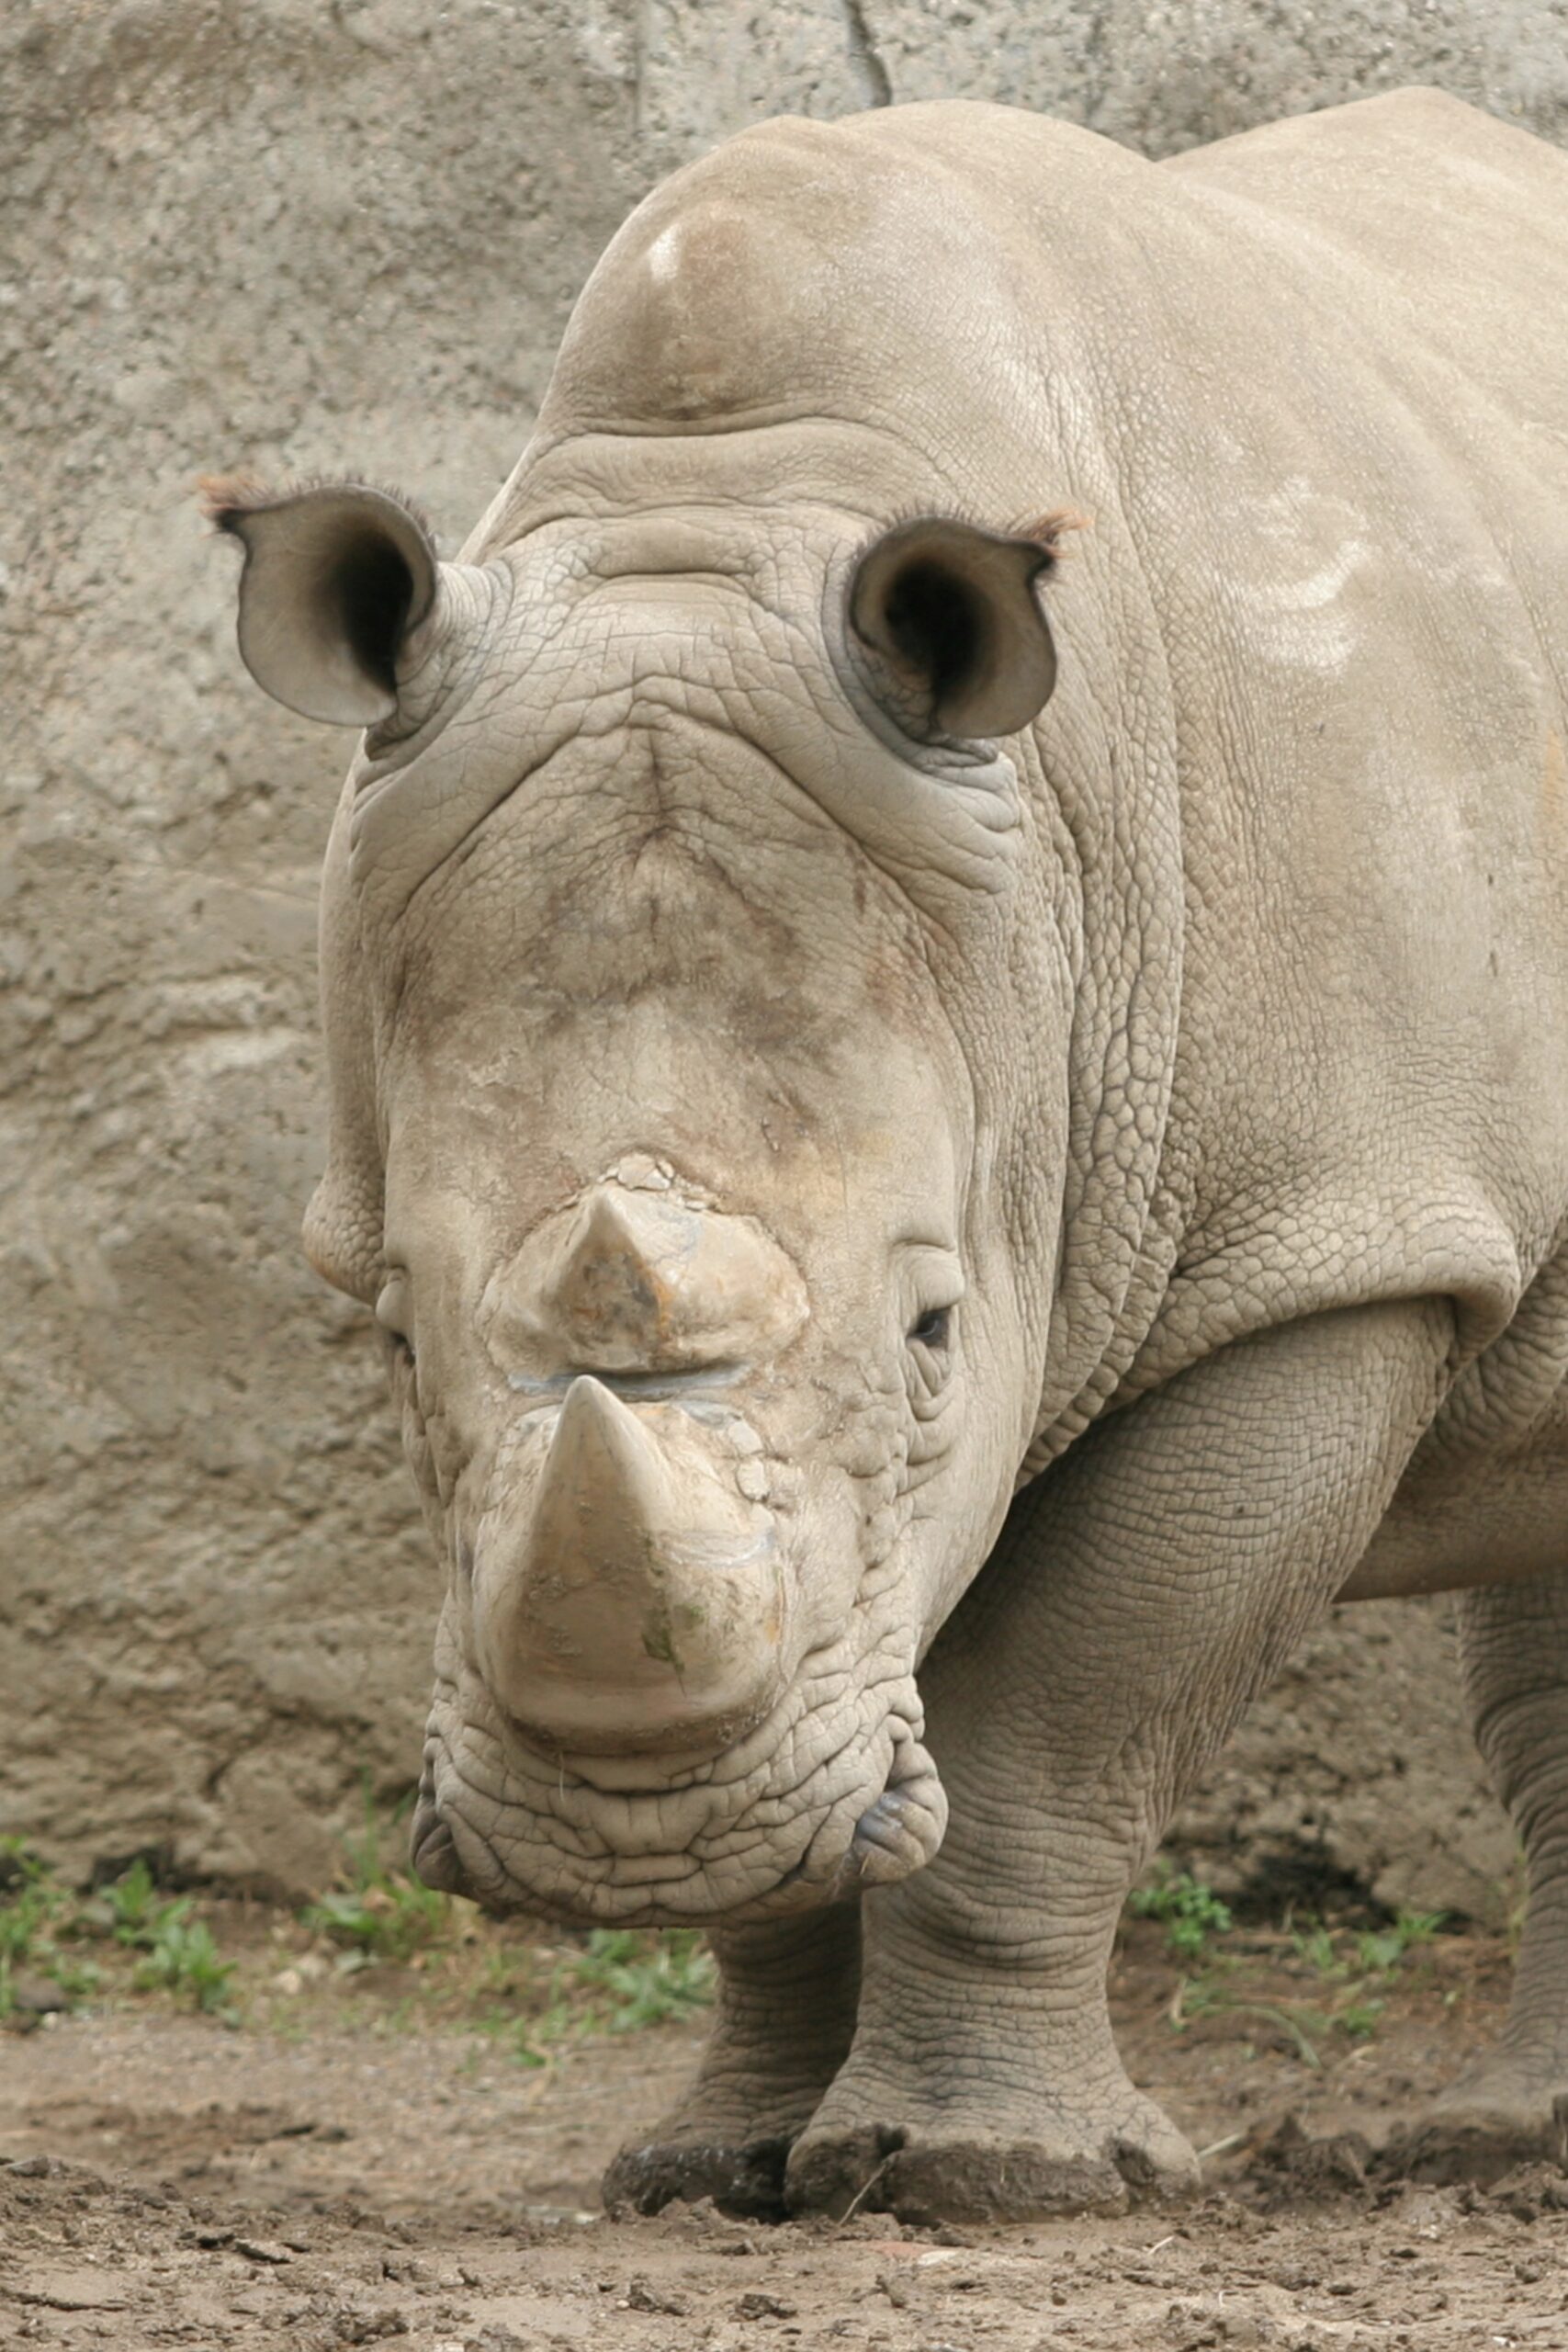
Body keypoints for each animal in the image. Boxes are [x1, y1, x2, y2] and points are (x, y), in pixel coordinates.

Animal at [207, 86, 1568, 2223]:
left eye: (935, 1335)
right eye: (400, 1338)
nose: (625, 1836)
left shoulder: (1329, 1240)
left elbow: (1062, 1717)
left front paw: (980, 2174)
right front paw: (715, 2156)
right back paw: (1502, 2143)